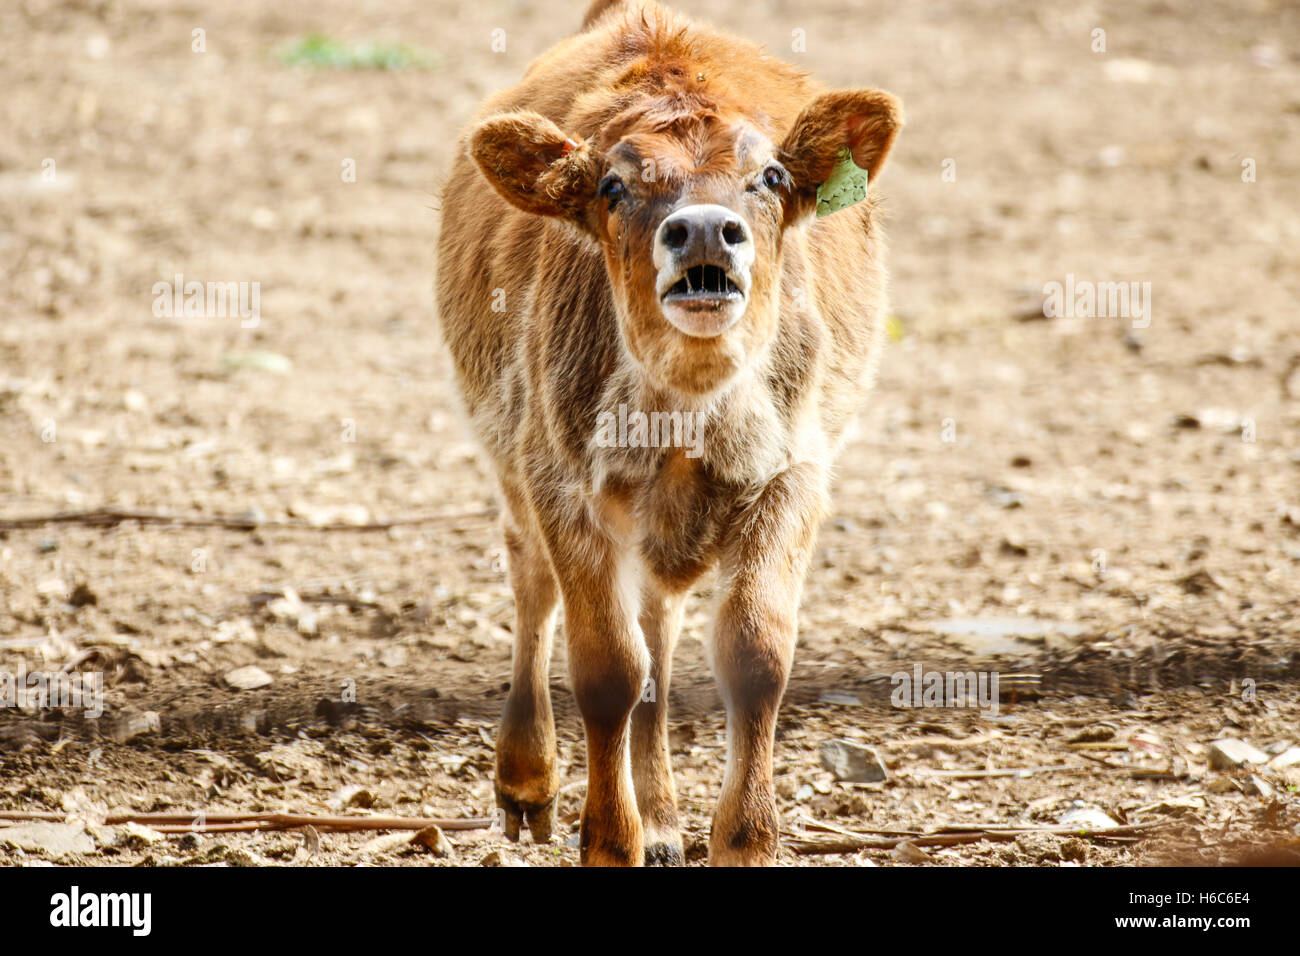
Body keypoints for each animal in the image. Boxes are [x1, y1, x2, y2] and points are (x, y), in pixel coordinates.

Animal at [436, 0, 902, 866]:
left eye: (771, 177)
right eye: (613, 184)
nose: (707, 230)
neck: (690, 409)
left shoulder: (795, 473)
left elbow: (753, 655)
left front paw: (743, 838)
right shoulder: (561, 482)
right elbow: (606, 667)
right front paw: (608, 840)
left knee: (658, 624)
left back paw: (657, 813)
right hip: (512, 457)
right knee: (534, 589)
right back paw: (529, 780)